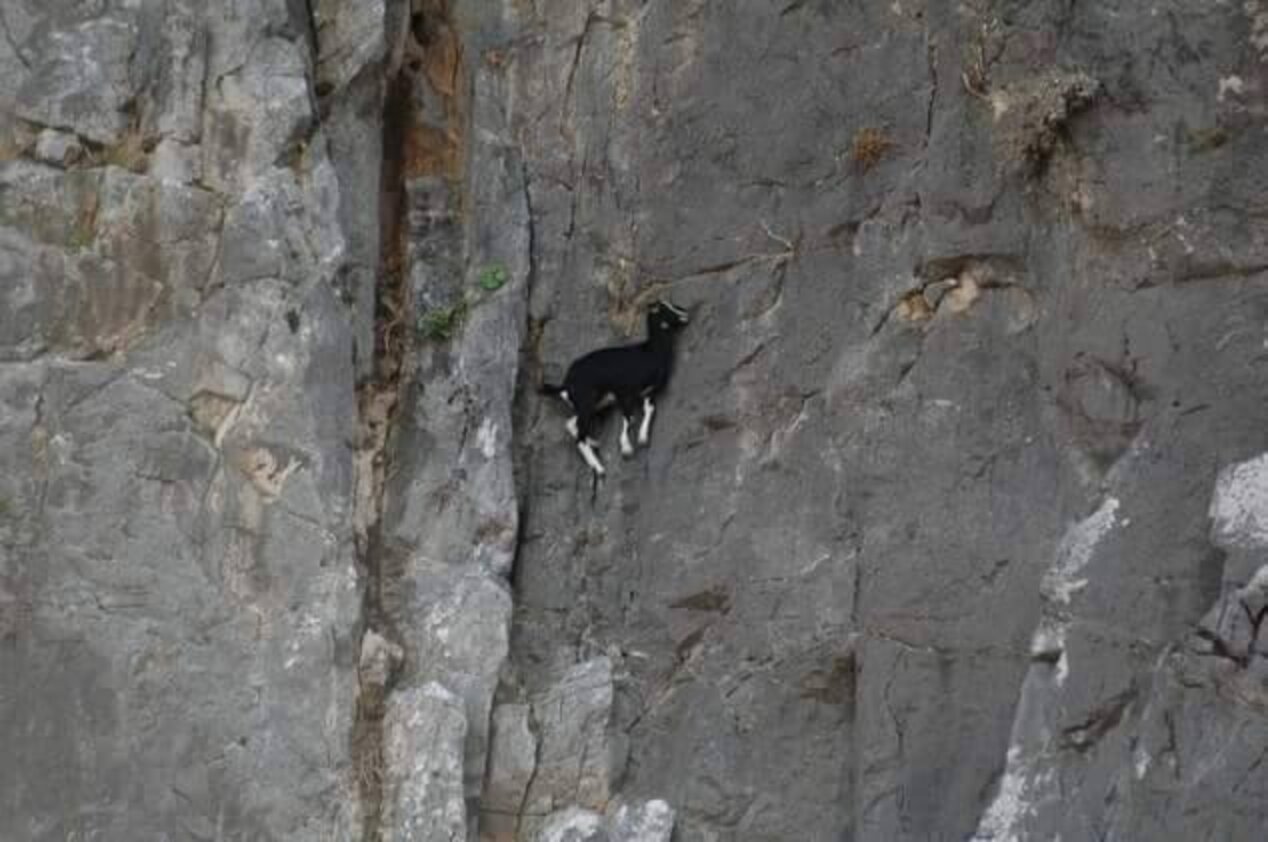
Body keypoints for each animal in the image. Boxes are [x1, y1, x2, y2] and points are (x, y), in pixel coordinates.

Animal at [540, 300, 691, 479]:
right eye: (662, 308)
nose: (685, 314)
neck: (651, 352)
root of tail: (566, 383)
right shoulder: (625, 392)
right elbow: (629, 418)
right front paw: (627, 449)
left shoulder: (648, 392)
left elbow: (649, 410)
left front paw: (642, 438)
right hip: (587, 401)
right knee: (579, 435)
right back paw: (599, 468)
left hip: (596, 402)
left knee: (571, 424)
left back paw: (595, 442)